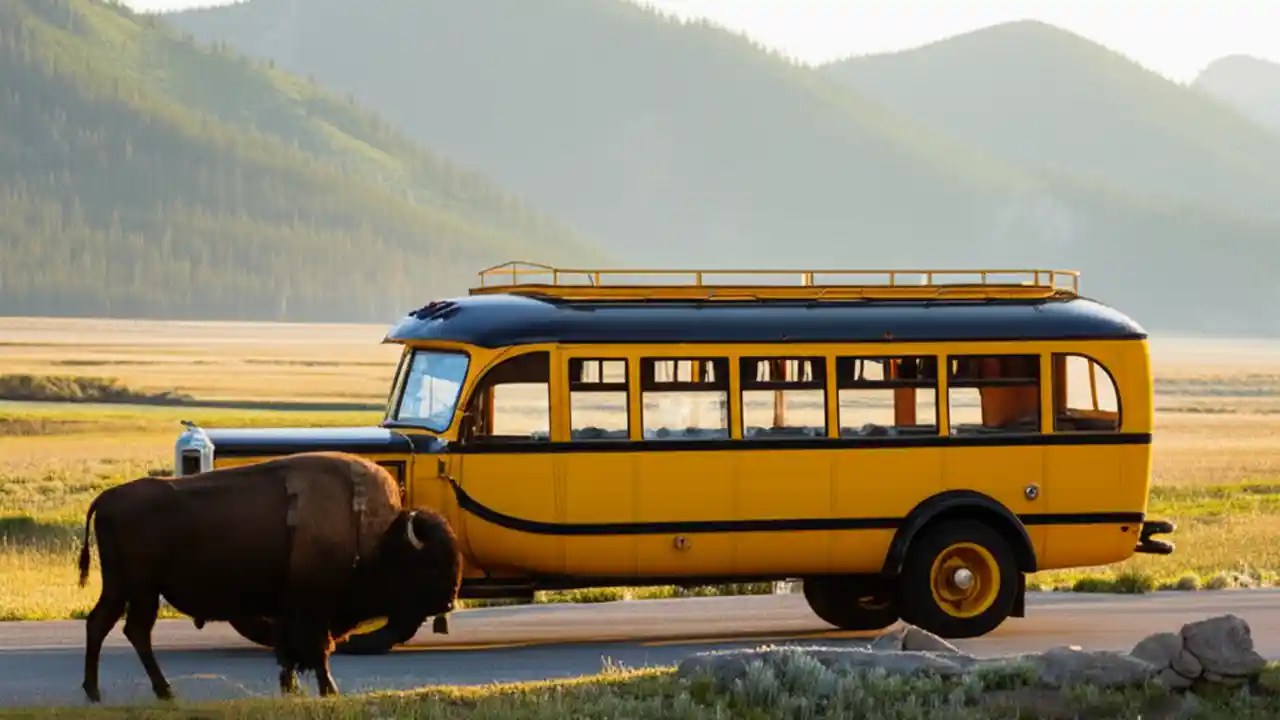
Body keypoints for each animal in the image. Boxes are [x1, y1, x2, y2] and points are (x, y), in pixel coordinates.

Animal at [76, 451, 462, 702]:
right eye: (430, 563)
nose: (447, 602)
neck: (374, 534)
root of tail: (107, 498)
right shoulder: (313, 606)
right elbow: (318, 647)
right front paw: (329, 690)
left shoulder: (287, 608)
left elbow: (287, 649)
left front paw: (291, 687)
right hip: (142, 589)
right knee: (135, 631)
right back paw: (162, 690)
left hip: (121, 586)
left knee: (101, 624)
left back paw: (96, 691)